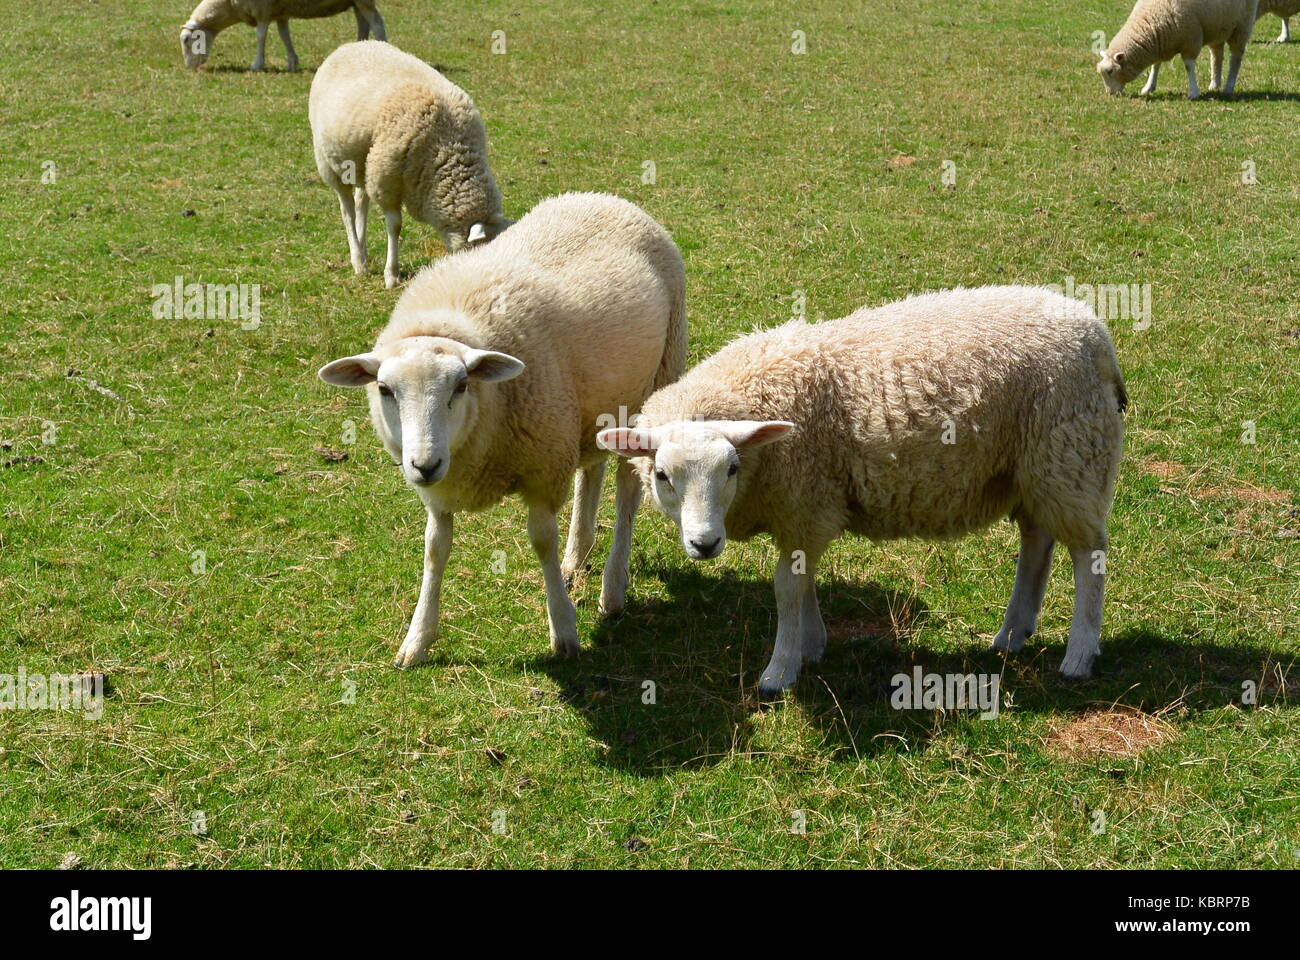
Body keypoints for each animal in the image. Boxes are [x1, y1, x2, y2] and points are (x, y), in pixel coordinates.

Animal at [181, 0, 386, 72]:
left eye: (186, 40)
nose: (189, 67)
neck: (228, 5)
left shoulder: (262, 10)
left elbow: (260, 36)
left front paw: (257, 65)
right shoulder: (279, 12)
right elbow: (284, 35)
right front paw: (292, 63)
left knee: (377, 25)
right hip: (355, 2)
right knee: (363, 24)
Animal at [309, 41, 511, 289]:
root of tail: (350, 45)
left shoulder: (379, 172)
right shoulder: (386, 179)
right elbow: (395, 226)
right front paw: (392, 274)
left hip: (364, 162)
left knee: (360, 202)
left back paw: (363, 251)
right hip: (332, 163)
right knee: (347, 209)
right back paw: (358, 260)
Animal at [318, 192, 687, 668]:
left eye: (461, 384)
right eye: (384, 389)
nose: (425, 464)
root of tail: (608, 198)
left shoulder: (545, 467)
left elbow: (542, 542)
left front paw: (563, 630)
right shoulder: (440, 494)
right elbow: (435, 549)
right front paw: (417, 640)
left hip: (656, 378)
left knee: (627, 491)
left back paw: (612, 588)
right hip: (592, 407)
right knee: (592, 472)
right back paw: (577, 557)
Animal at [597, 286, 1127, 696]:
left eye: (731, 468)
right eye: (662, 475)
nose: (704, 544)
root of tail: (1093, 330)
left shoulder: (806, 502)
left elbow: (786, 586)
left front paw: (780, 671)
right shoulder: (803, 511)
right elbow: (803, 581)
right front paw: (811, 645)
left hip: (1070, 456)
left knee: (1089, 556)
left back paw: (1079, 655)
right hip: (1032, 471)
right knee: (1037, 542)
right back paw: (1013, 634)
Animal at [1096, 0, 1258, 99]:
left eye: (1110, 71)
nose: (1110, 93)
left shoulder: (1191, 39)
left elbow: (1189, 67)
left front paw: (1194, 92)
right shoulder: (1160, 42)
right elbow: (1155, 65)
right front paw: (1148, 87)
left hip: (1242, 26)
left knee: (1236, 58)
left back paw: (1228, 87)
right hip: (1218, 27)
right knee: (1217, 56)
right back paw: (1214, 84)